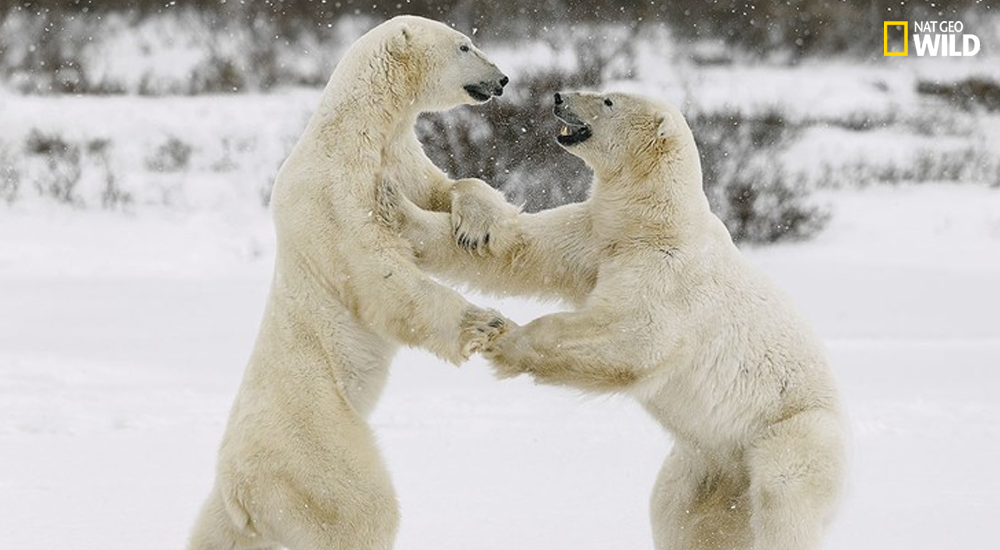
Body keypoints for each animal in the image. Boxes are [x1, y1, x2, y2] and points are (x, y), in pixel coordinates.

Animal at [187, 16, 519, 550]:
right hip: (312, 443)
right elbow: (377, 271)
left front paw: (475, 224)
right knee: (358, 507)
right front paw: (484, 323)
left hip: (233, 507)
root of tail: (242, 491)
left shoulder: (400, 155)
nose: (503, 78)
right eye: (464, 46)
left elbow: (443, 188)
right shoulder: (334, 191)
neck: (357, 128)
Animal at [380, 91, 846, 550]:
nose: (558, 96)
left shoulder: (668, 272)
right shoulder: (594, 237)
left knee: (782, 497)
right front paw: (393, 202)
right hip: (701, 463)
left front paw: (505, 339)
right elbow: (519, 249)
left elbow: (633, 337)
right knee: (679, 514)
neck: (654, 221)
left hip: (793, 432)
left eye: (607, 100)